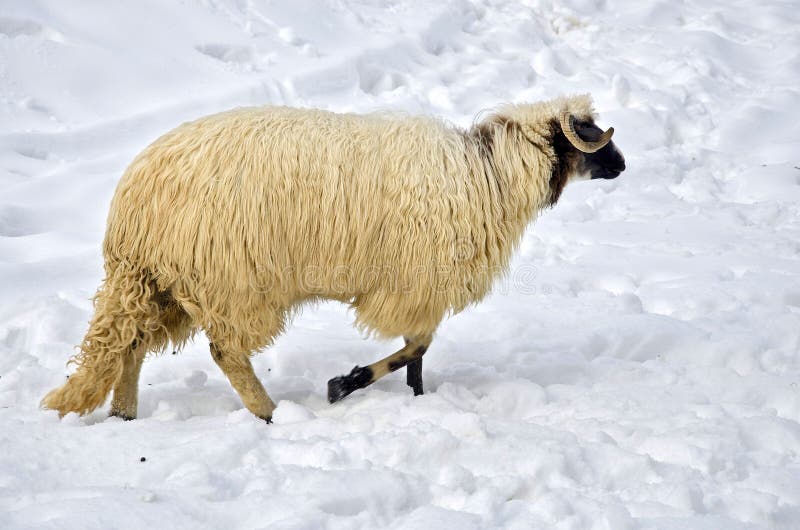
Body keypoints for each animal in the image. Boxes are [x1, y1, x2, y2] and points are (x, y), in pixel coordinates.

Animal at [41, 94, 625, 422]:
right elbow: (417, 346)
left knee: (131, 344)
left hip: (164, 282)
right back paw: (268, 413)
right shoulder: (415, 282)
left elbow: (418, 351)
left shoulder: (419, 286)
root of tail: (135, 204)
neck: (489, 173)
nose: (622, 164)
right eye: (588, 132)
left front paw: (413, 397)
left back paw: (125, 414)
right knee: (224, 352)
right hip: (232, 282)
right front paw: (348, 384)